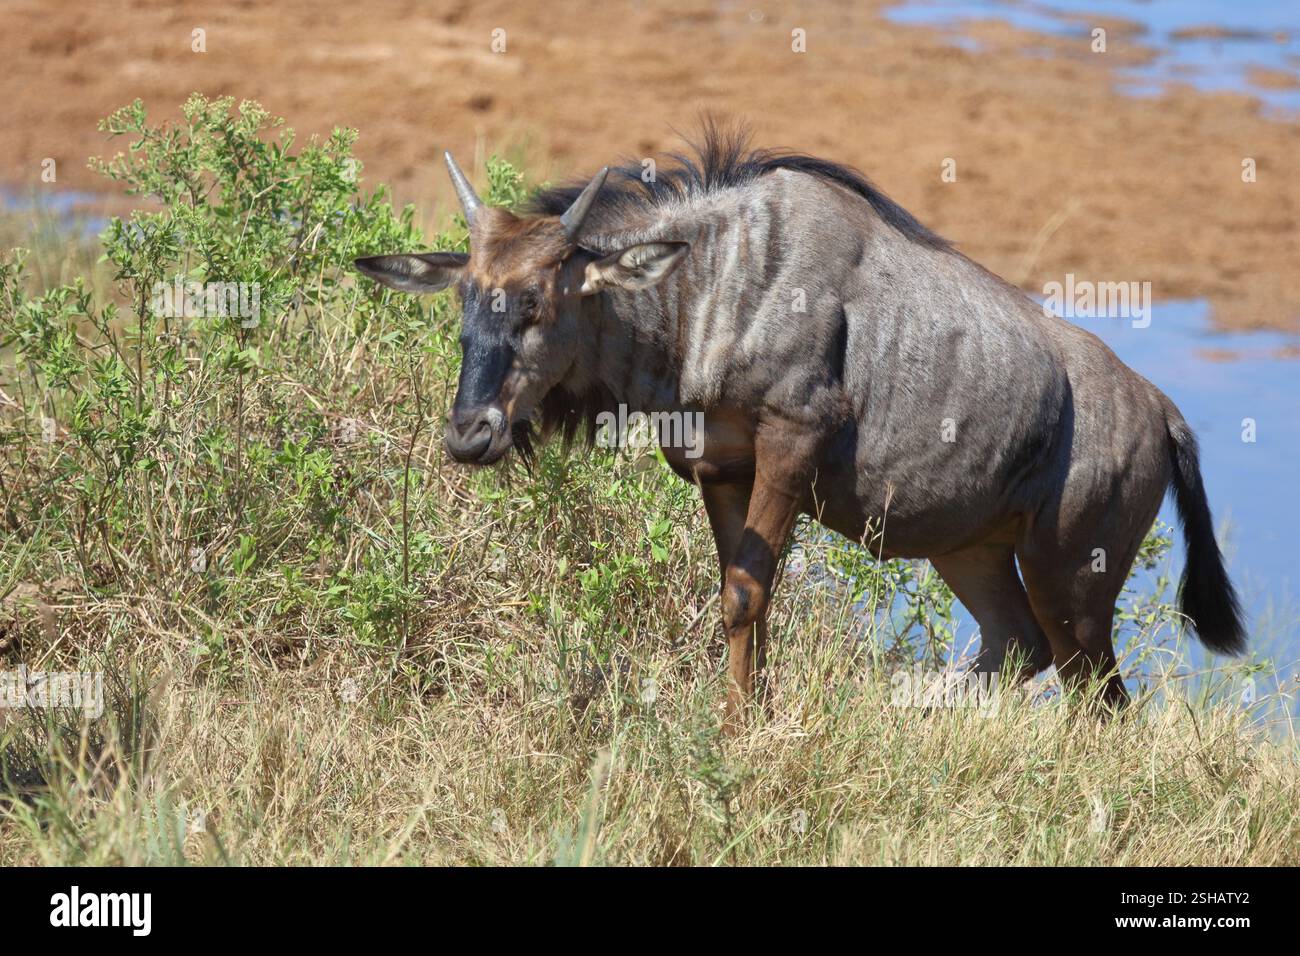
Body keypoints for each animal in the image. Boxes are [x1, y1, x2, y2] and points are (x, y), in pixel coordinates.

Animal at [355, 125, 1245, 725]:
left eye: (536, 304)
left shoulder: (791, 442)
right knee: (1016, 646)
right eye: (466, 305)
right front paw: (747, 718)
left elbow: (746, 597)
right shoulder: (719, 470)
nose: (470, 434)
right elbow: (744, 597)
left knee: (1103, 701)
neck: (710, 289)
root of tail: (1161, 412)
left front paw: (734, 732)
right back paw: (911, 707)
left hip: (1074, 582)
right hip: (975, 552)